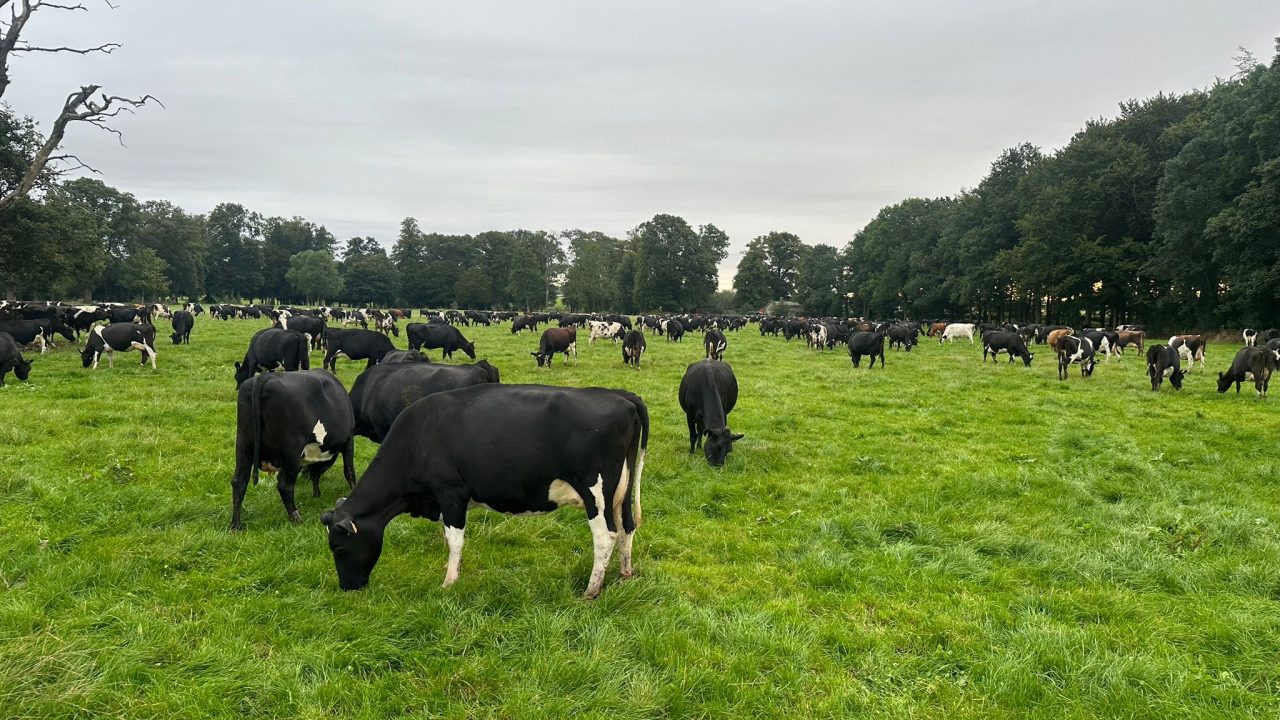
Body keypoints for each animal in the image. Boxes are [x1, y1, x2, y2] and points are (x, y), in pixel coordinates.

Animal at [230, 370, 356, 530]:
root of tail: (266, 376)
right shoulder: (349, 440)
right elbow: (349, 471)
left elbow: (315, 473)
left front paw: (316, 495)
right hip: (291, 450)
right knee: (285, 485)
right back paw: (296, 518)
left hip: (244, 445)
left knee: (239, 482)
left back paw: (235, 526)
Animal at [320, 384, 649, 599]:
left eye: (338, 548)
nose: (347, 588)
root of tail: (623, 395)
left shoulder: (450, 492)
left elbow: (454, 539)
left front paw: (449, 582)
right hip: (621, 490)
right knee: (627, 527)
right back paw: (624, 575)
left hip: (596, 491)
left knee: (605, 535)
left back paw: (591, 590)